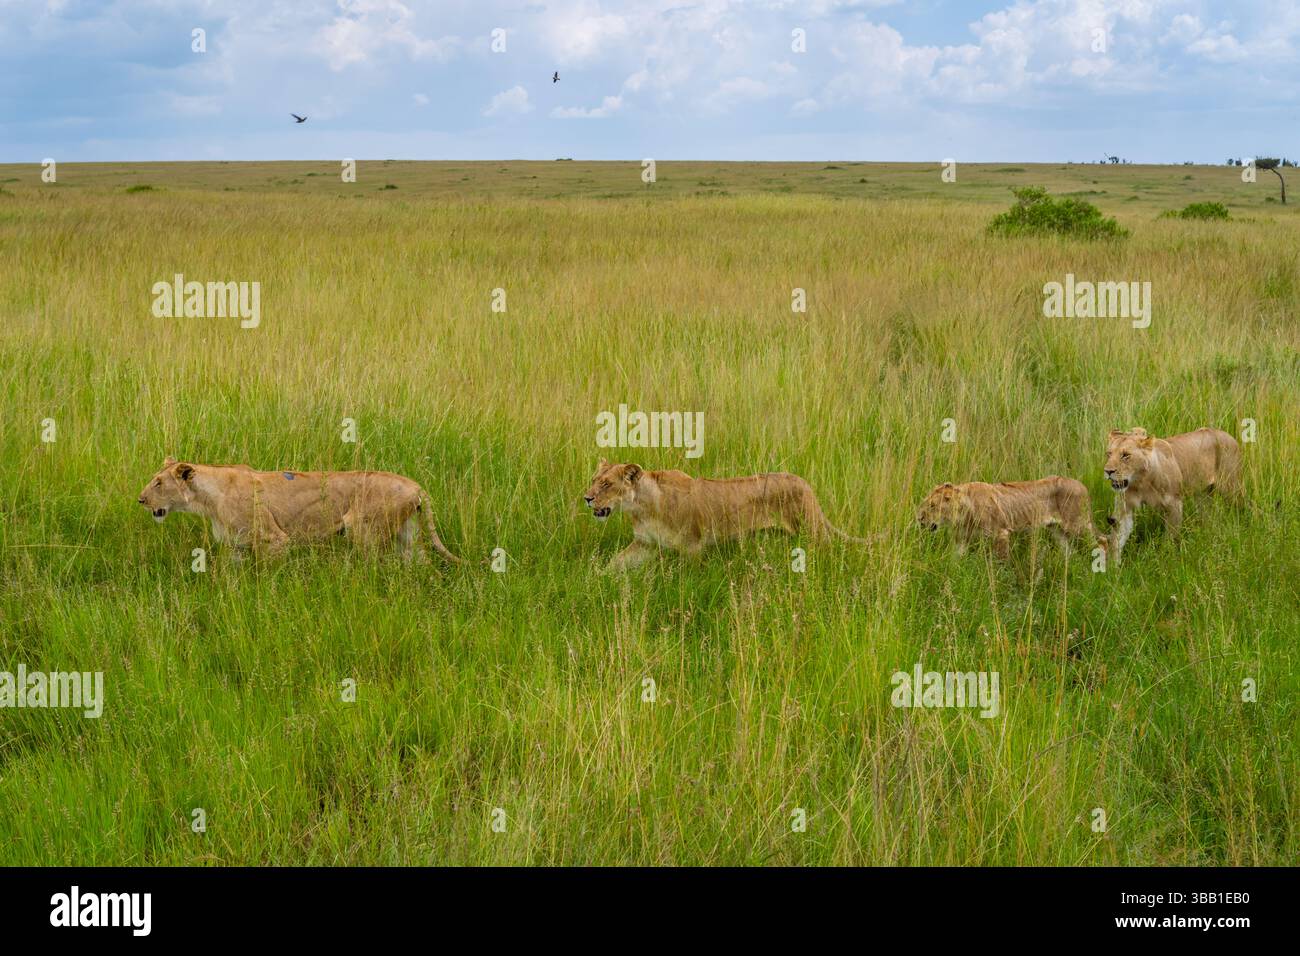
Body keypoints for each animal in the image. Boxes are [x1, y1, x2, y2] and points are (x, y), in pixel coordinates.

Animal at [137, 457, 461, 563]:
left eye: (158, 483)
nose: (140, 500)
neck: (207, 500)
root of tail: (415, 485)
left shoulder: (276, 539)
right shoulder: (235, 546)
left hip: (364, 531)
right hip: (408, 536)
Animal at [582, 460, 872, 570]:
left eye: (607, 484)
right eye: (594, 480)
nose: (587, 498)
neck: (642, 507)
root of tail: (806, 484)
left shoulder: (693, 546)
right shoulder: (646, 543)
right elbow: (616, 563)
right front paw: (594, 578)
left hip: (813, 530)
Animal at [916, 477, 1102, 560]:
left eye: (932, 506)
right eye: (924, 503)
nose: (919, 519)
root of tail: (1082, 485)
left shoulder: (1001, 533)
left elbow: (1002, 562)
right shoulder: (962, 538)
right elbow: (956, 559)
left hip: (1077, 524)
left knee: (1102, 542)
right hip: (1057, 530)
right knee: (1069, 551)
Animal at [1102, 427, 1241, 565]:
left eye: (1125, 455)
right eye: (1109, 454)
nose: (1108, 471)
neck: (1141, 481)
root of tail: (1229, 435)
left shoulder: (1174, 503)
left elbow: (1171, 536)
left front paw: (1166, 559)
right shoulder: (1124, 507)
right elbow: (1117, 539)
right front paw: (1113, 566)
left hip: (1231, 488)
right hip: (1203, 495)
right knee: (1208, 516)